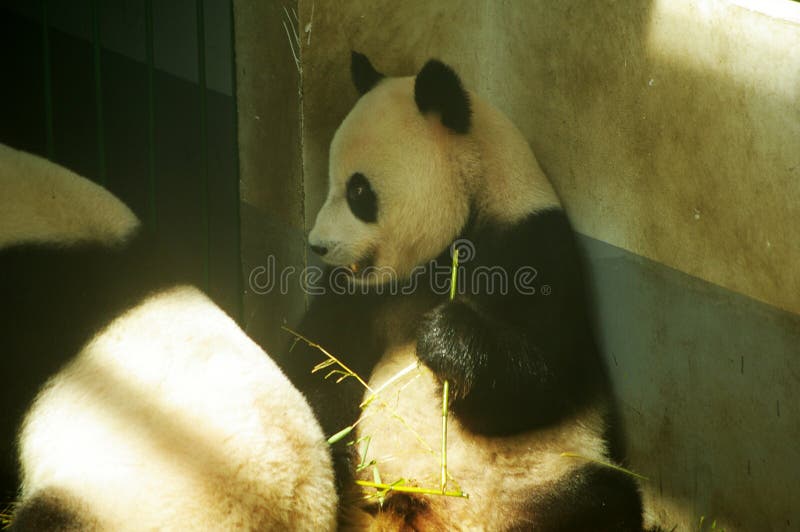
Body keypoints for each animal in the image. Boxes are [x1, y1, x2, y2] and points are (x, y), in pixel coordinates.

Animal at [279, 53, 648, 531]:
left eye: (359, 190)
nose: (318, 246)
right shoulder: (357, 293)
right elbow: (321, 361)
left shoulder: (535, 244)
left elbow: (549, 372)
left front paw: (444, 337)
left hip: (552, 474)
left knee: (605, 500)